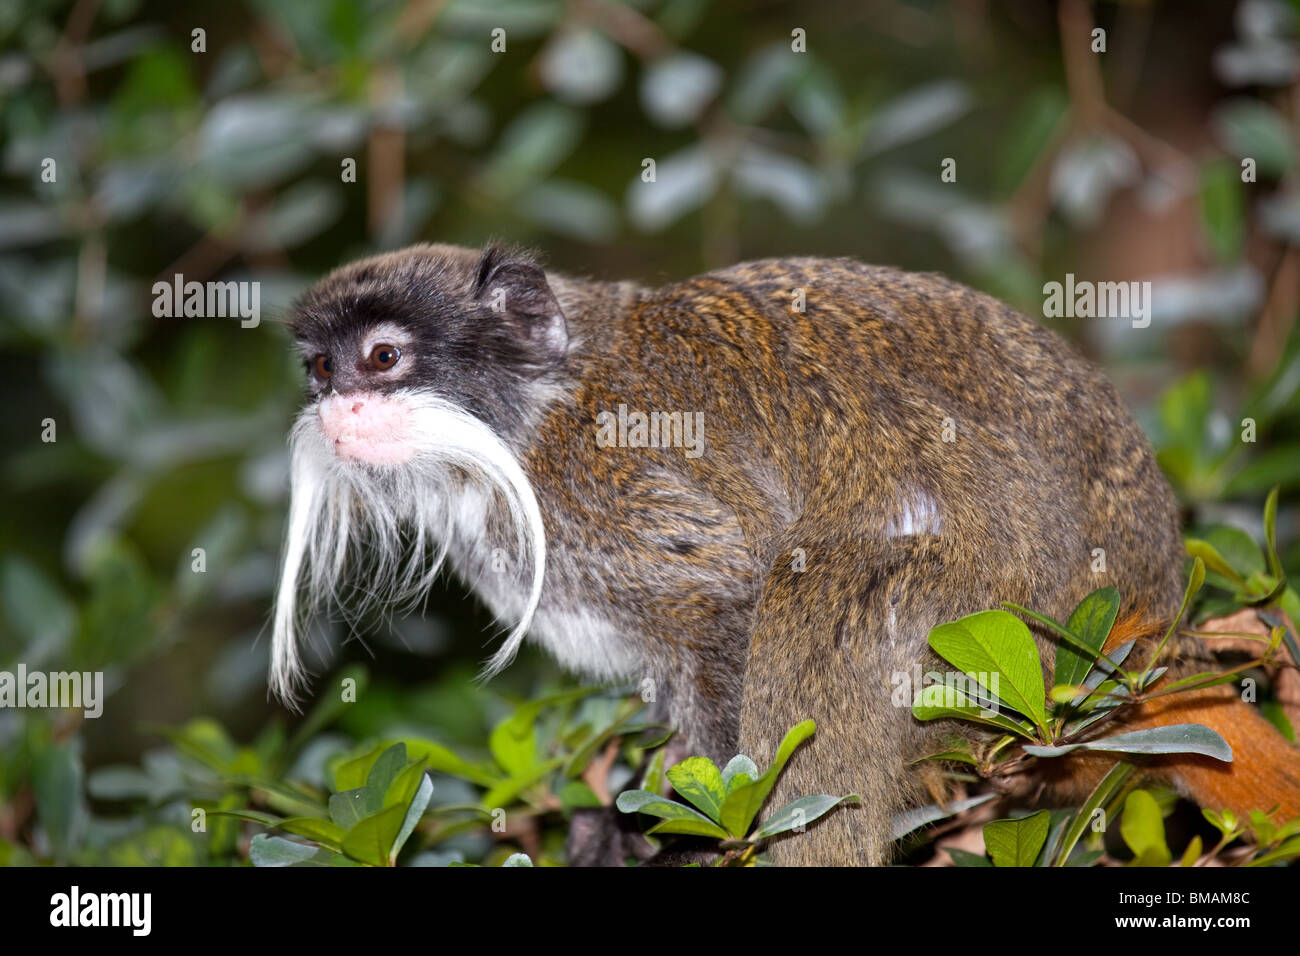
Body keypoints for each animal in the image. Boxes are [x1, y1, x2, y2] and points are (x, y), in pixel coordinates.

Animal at [271, 242, 1300, 866]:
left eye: (385, 359)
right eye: (321, 368)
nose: (340, 410)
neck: (531, 418)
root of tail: (1153, 607)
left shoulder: (608, 481)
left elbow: (736, 591)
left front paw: (685, 829)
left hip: (1020, 626)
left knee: (832, 582)